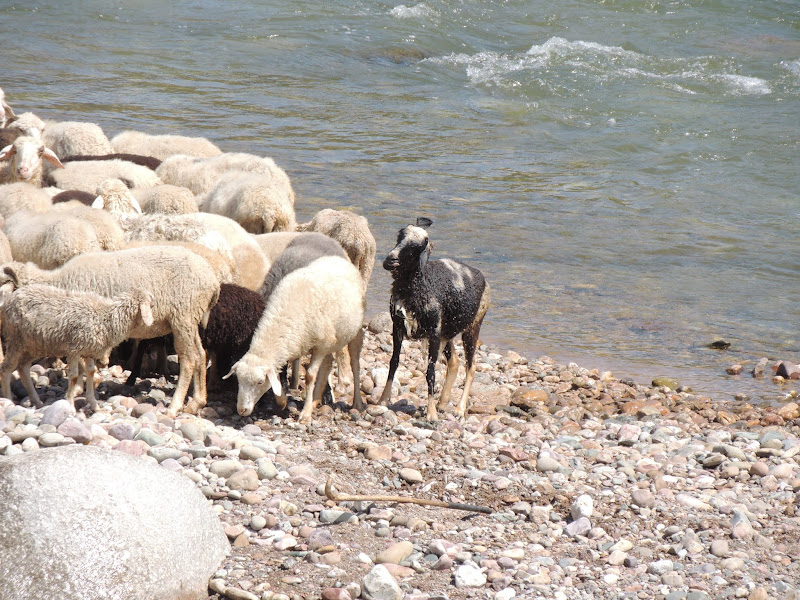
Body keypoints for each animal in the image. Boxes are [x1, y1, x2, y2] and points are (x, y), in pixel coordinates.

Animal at [0, 284, 154, 411]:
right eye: (151, 305)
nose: (152, 323)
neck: (107, 318)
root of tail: (11, 297)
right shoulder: (74, 349)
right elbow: (73, 376)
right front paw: (69, 404)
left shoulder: (89, 351)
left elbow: (91, 372)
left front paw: (94, 404)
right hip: (15, 340)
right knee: (6, 368)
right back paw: (8, 401)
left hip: (33, 345)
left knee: (23, 368)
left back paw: (37, 402)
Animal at [226, 254, 366, 423]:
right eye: (238, 381)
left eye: (259, 382)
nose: (242, 410)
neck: (284, 318)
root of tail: (338, 258)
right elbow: (278, 375)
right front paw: (282, 401)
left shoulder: (321, 345)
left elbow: (310, 376)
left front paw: (305, 414)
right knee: (327, 363)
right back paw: (315, 401)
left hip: (354, 332)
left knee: (355, 365)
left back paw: (357, 404)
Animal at [378, 218, 490, 421]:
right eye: (400, 235)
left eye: (418, 246)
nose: (390, 260)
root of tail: (481, 276)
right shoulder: (397, 326)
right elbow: (393, 362)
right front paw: (383, 400)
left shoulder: (433, 333)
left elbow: (430, 372)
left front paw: (431, 414)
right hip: (448, 332)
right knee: (454, 362)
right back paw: (442, 403)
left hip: (472, 327)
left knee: (471, 367)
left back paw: (459, 409)